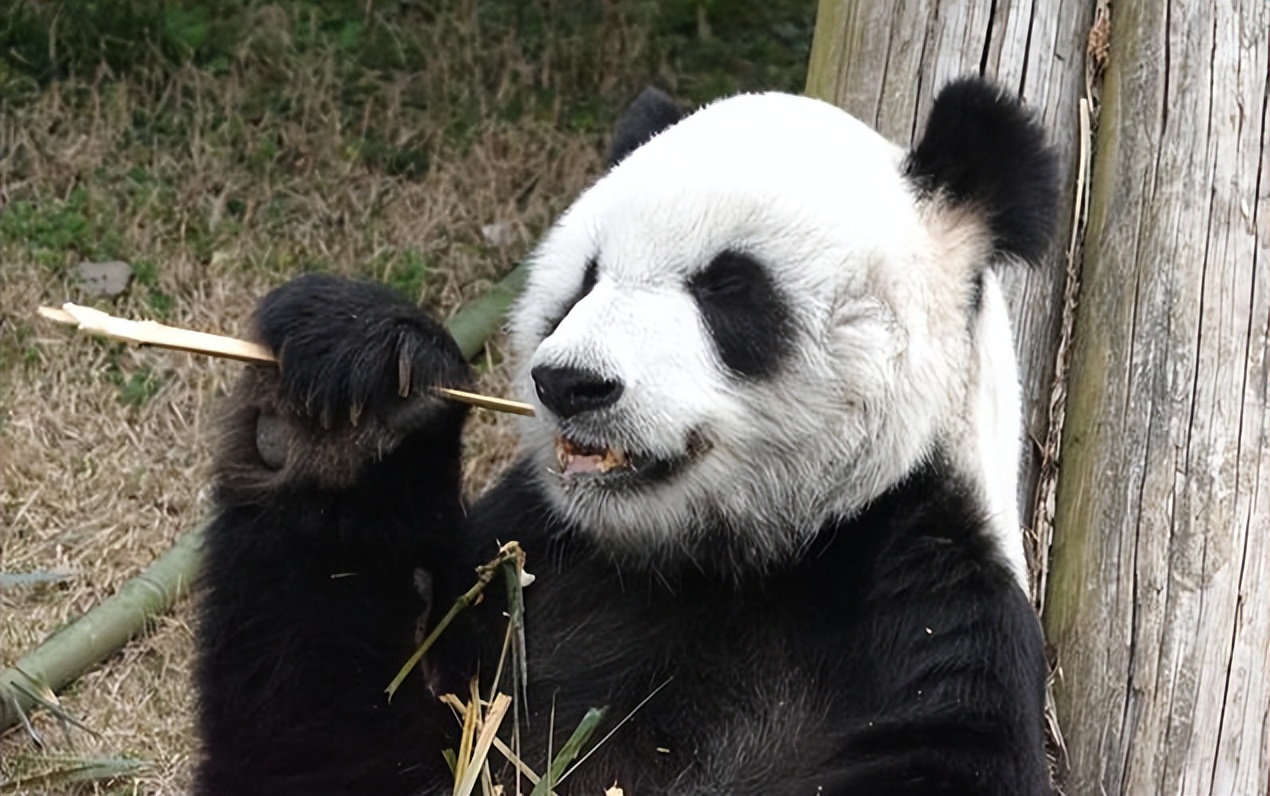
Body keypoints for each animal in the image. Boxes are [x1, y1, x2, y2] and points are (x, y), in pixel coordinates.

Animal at [195, 77, 1060, 796]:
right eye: (585, 278)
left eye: (729, 289)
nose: (571, 382)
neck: (727, 564)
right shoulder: (535, 577)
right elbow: (329, 748)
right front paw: (353, 398)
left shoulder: (927, 615)